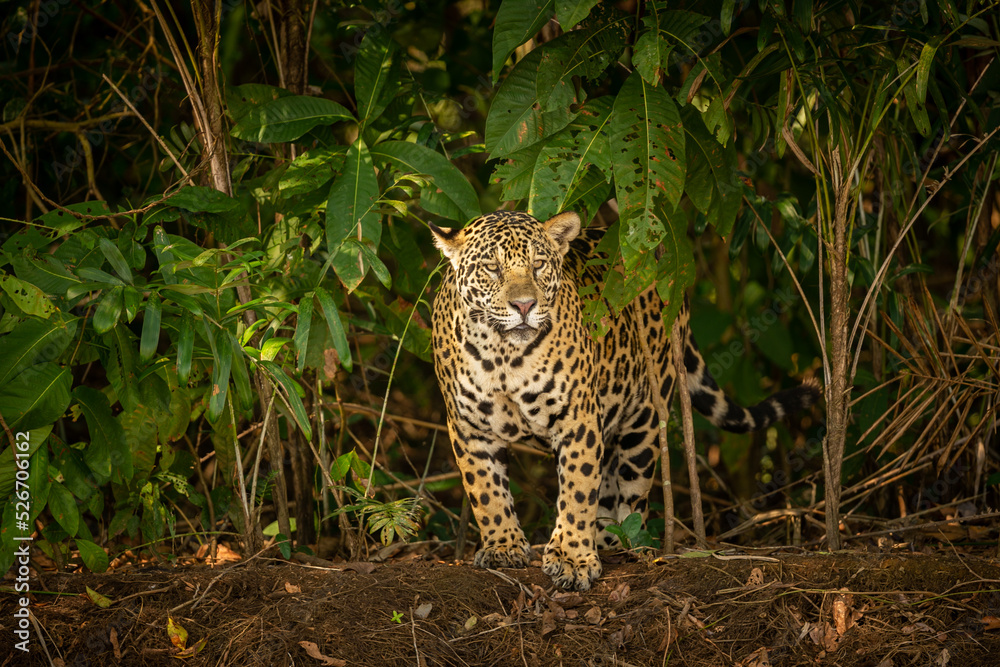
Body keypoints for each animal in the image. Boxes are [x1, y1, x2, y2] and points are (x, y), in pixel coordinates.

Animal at [430, 209, 820, 591]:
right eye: (491, 268)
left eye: (538, 264)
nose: (524, 305)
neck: (504, 356)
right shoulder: (468, 427)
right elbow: (486, 492)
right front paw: (503, 547)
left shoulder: (577, 420)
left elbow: (577, 489)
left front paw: (573, 558)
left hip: (645, 417)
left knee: (632, 493)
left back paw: (622, 543)